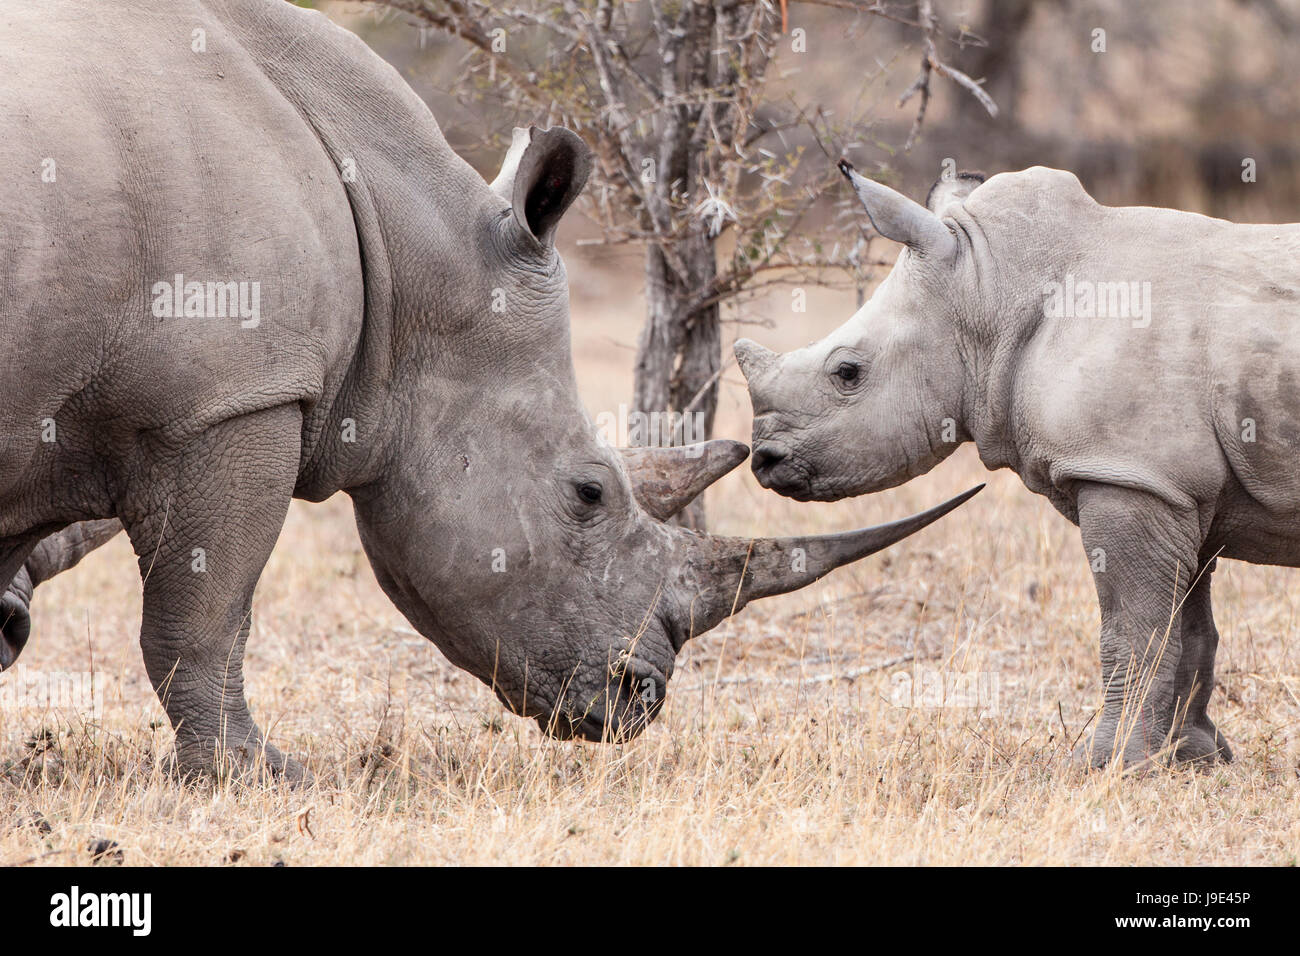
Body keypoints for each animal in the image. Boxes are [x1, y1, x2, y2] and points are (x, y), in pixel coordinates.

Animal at [0, 0, 980, 780]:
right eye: (587, 493)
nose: (639, 700)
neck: (411, 255)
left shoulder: (65, 407)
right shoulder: (234, 399)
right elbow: (206, 612)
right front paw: (258, 777)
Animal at [735, 160, 1300, 768]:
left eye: (847, 372)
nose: (764, 460)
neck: (986, 289)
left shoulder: (1128, 475)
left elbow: (1133, 627)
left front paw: (1106, 764)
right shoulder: (1168, 481)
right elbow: (1189, 626)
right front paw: (1191, 756)